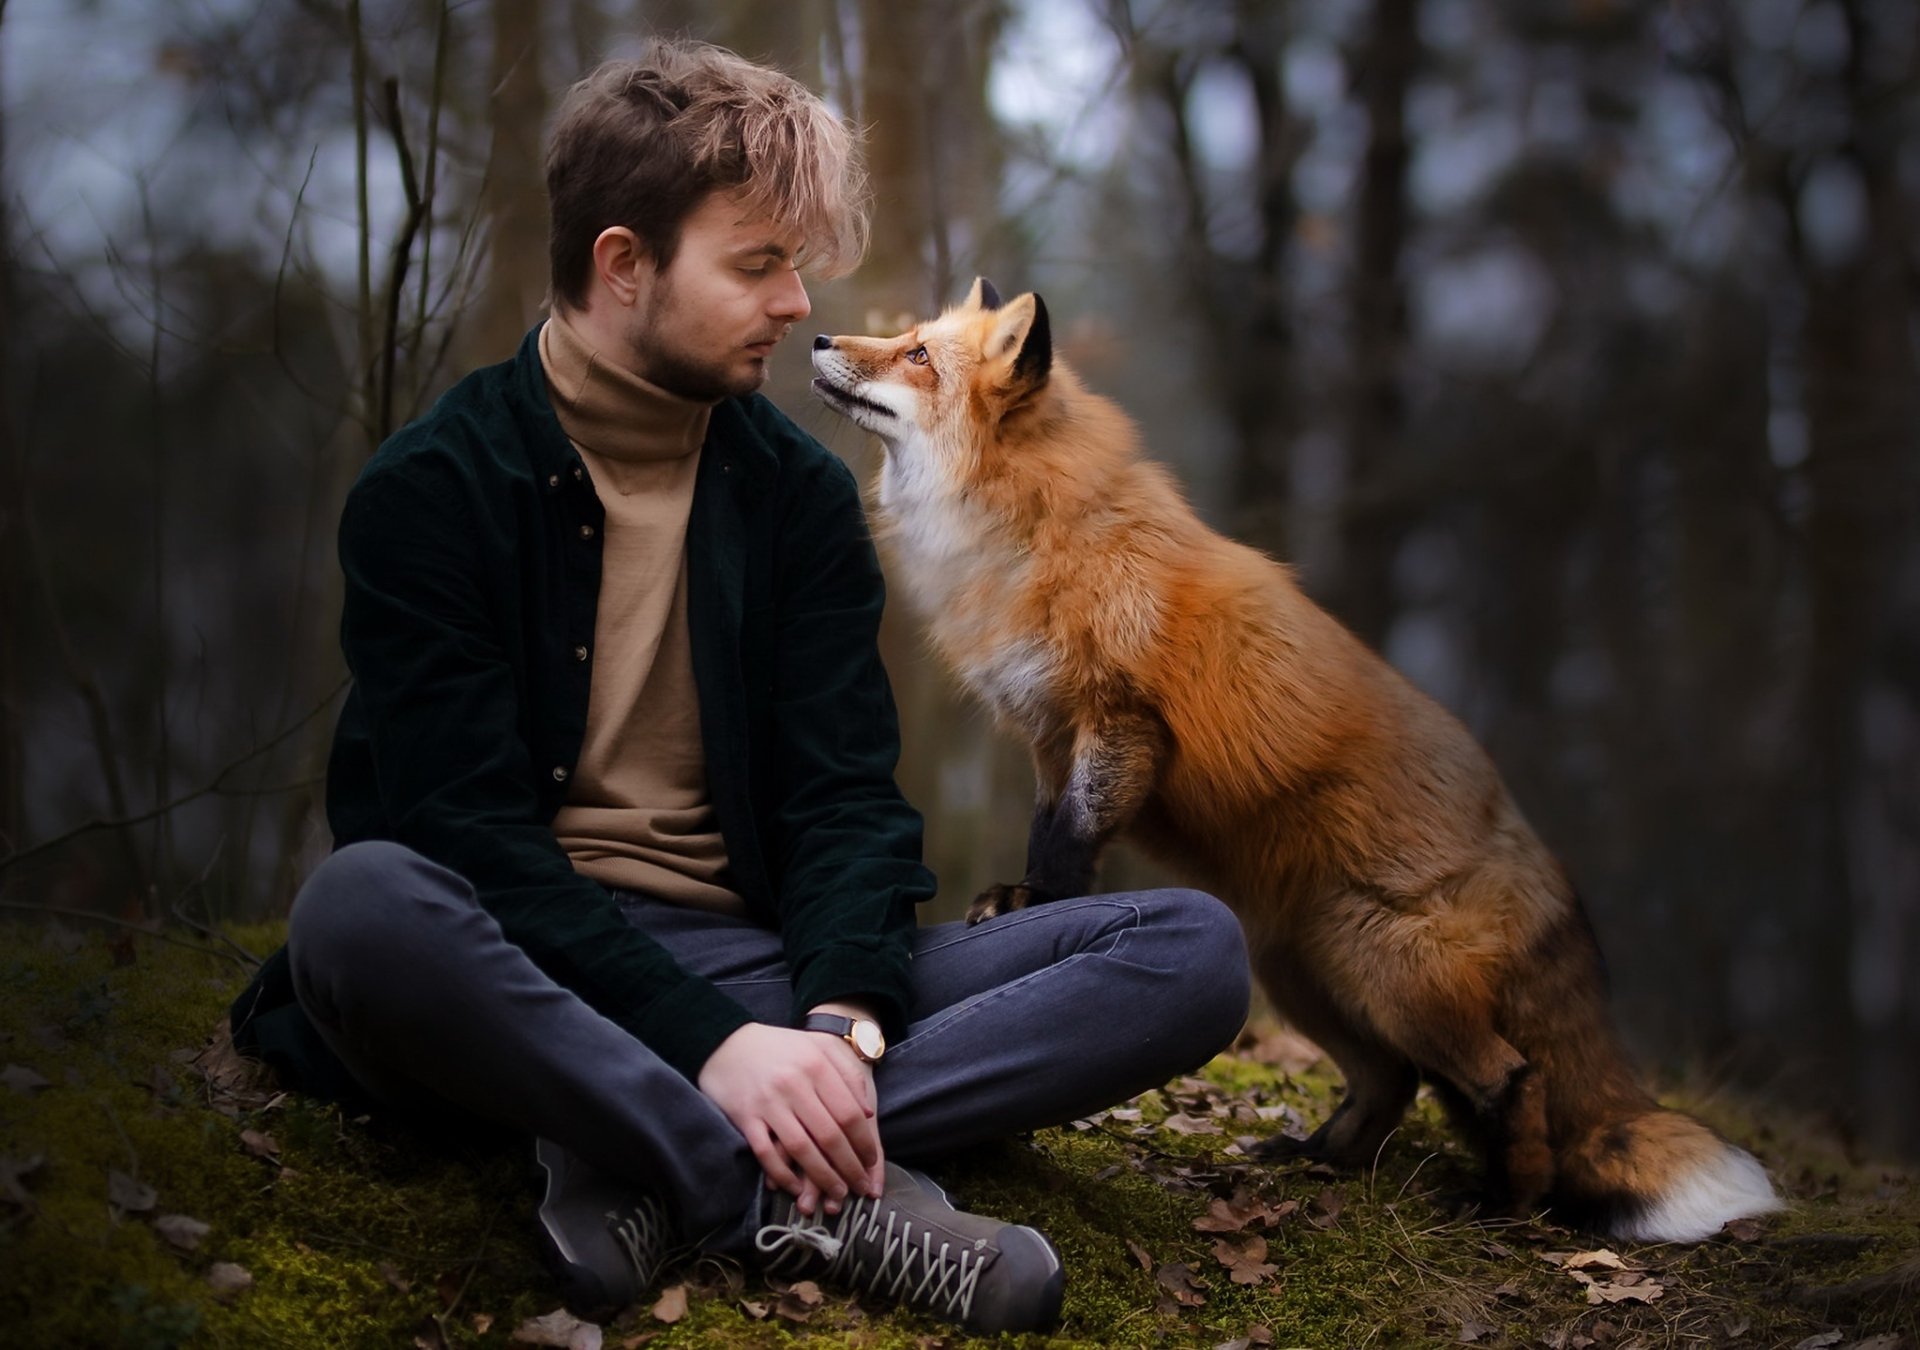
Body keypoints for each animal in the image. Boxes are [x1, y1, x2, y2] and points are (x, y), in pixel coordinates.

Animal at [808, 278, 1784, 1244]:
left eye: (917, 355)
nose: (817, 338)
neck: (1043, 533)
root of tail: (1541, 864)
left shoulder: (1120, 721)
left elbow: (1071, 839)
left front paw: (1037, 904)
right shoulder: (1052, 735)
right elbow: (1053, 828)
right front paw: (1030, 900)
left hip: (1390, 976)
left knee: (1510, 1077)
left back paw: (1502, 1207)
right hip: (1308, 975)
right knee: (1395, 1084)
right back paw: (1320, 1160)